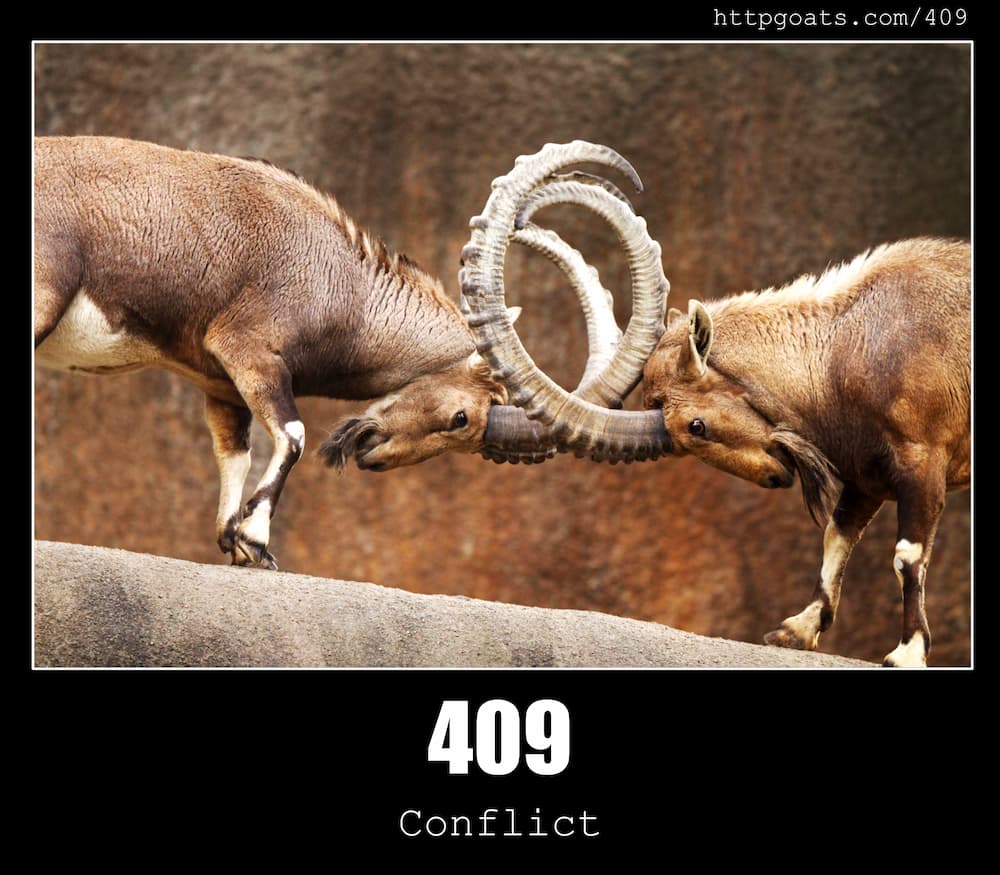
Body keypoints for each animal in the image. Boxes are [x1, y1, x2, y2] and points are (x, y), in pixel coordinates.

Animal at [637, 238, 970, 666]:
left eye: (696, 425)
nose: (775, 476)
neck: (842, 350)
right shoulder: (867, 477)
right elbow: (837, 535)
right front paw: (797, 629)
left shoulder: (922, 461)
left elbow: (906, 557)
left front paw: (907, 652)